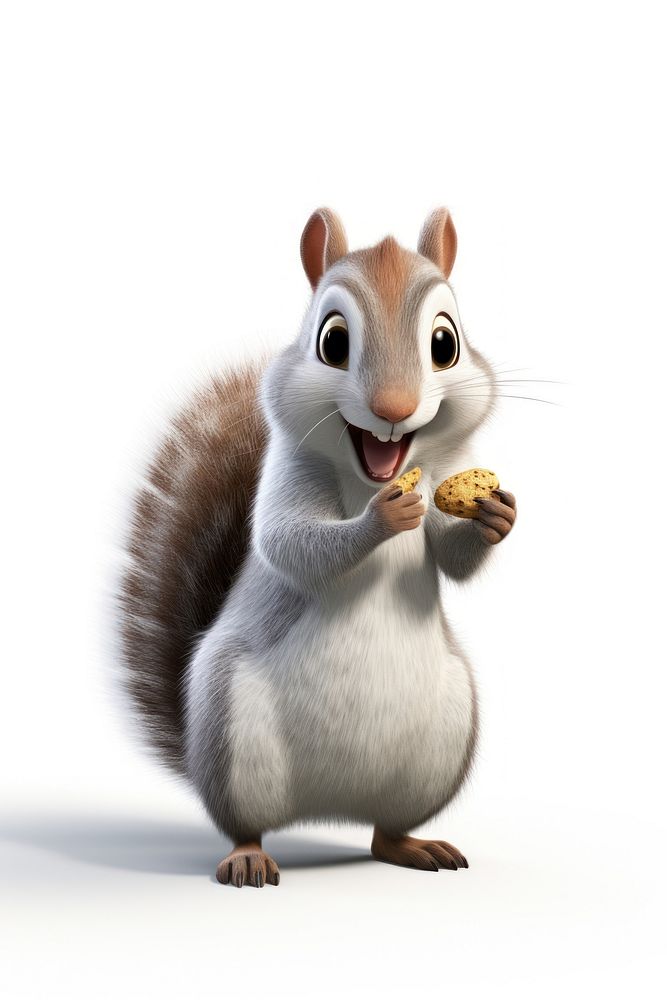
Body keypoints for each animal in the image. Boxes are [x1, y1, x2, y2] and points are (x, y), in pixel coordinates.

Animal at [117, 207, 517, 888]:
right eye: (332, 342)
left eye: (446, 344)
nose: (394, 407)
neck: (374, 476)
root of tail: (329, 806)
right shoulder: (288, 478)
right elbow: (288, 541)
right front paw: (378, 521)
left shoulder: (446, 476)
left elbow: (453, 556)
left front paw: (497, 514)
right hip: (231, 727)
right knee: (245, 822)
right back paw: (248, 857)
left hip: (444, 738)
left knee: (385, 831)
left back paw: (414, 847)